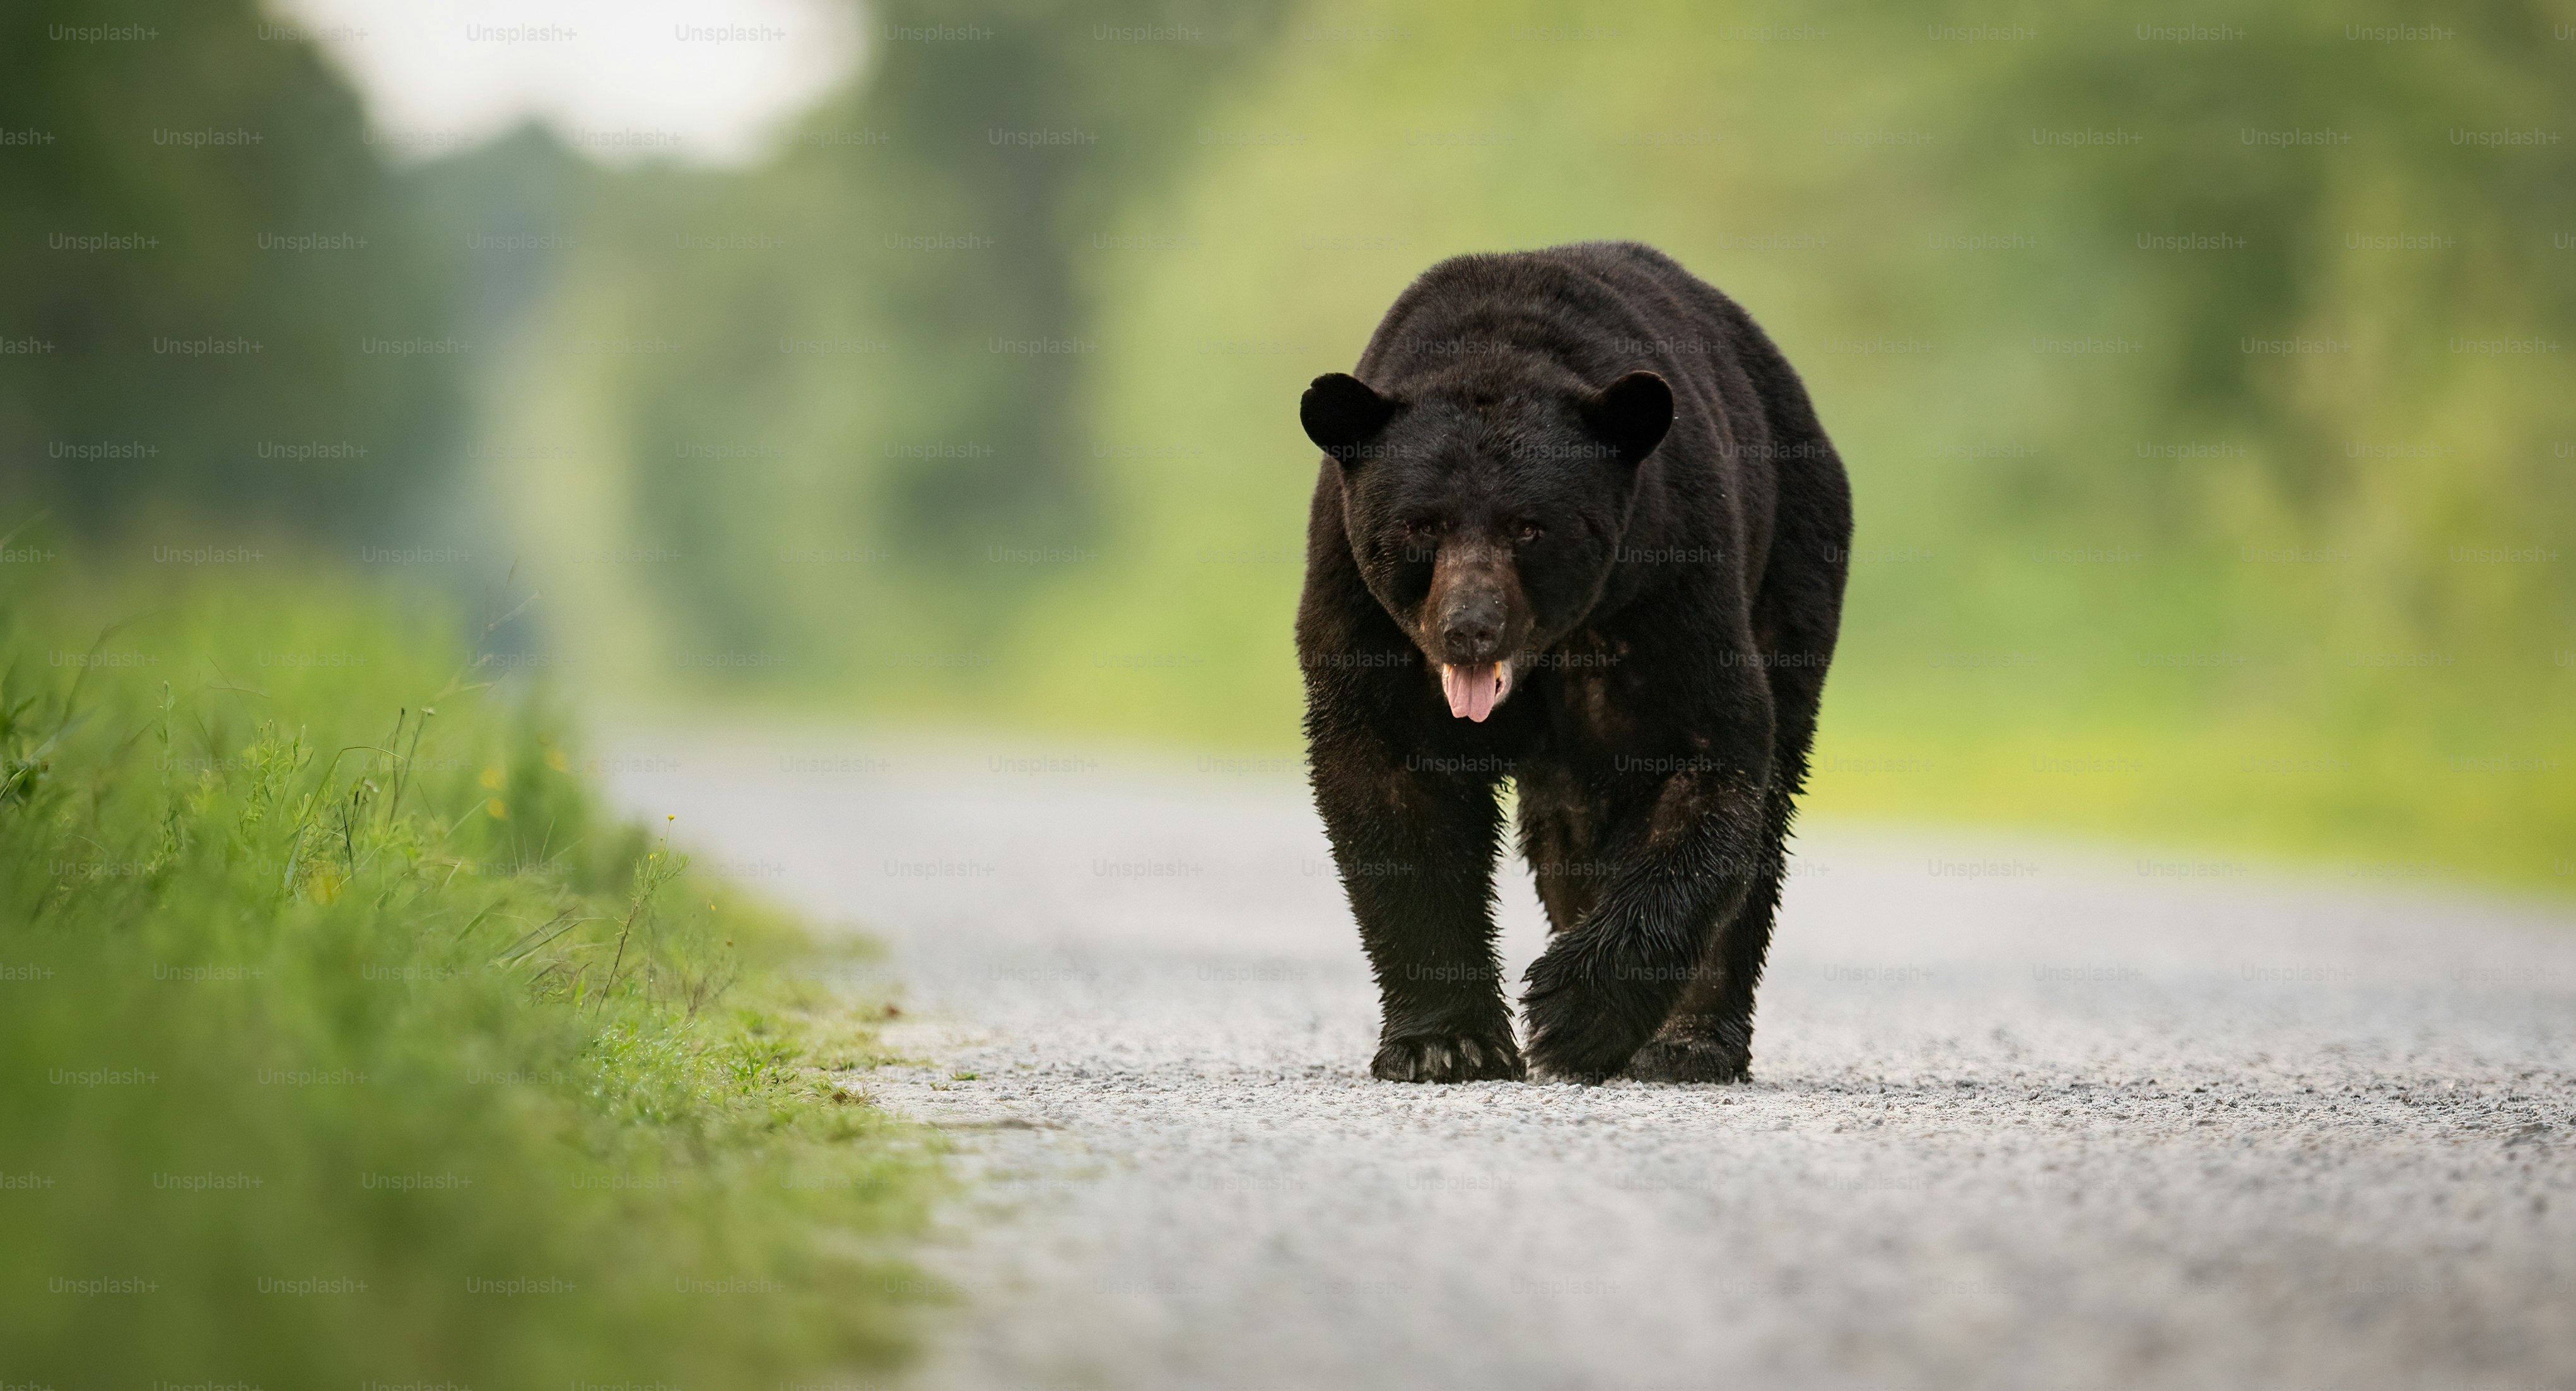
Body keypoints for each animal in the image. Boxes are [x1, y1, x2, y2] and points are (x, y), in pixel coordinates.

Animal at [1294, 241, 1852, 1085]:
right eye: (1421, 524)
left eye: (1529, 527)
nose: (1469, 629)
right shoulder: (1363, 611)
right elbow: (1393, 787)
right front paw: (1446, 1043)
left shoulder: (1662, 587)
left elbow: (1697, 762)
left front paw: (1572, 1012)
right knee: (1565, 823)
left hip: (1794, 557)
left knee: (1765, 800)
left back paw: (1689, 1041)